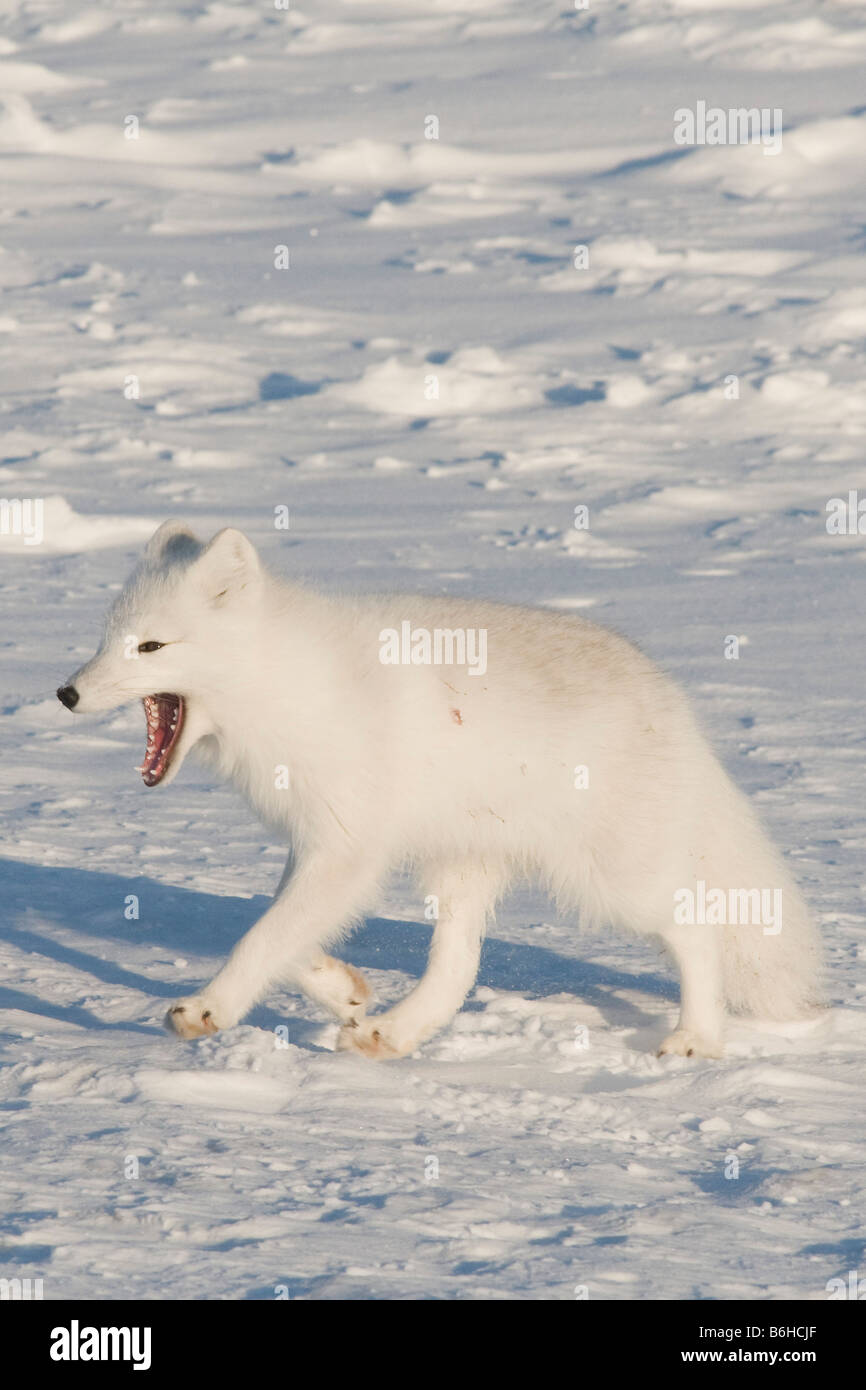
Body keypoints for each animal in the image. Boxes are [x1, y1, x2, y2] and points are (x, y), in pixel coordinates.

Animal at [57, 520, 823, 1060]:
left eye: (151, 648)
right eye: (105, 642)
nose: (65, 694)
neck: (286, 684)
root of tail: (670, 700)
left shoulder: (347, 846)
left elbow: (262, 935)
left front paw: (208, 1009)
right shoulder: (322, 841)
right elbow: (285, 931)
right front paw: (346, 993)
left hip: (612, 880)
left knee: (699, 928)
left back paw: (697, 1039)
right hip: (466, 863)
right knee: (459, 967)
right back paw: (390, 1034)